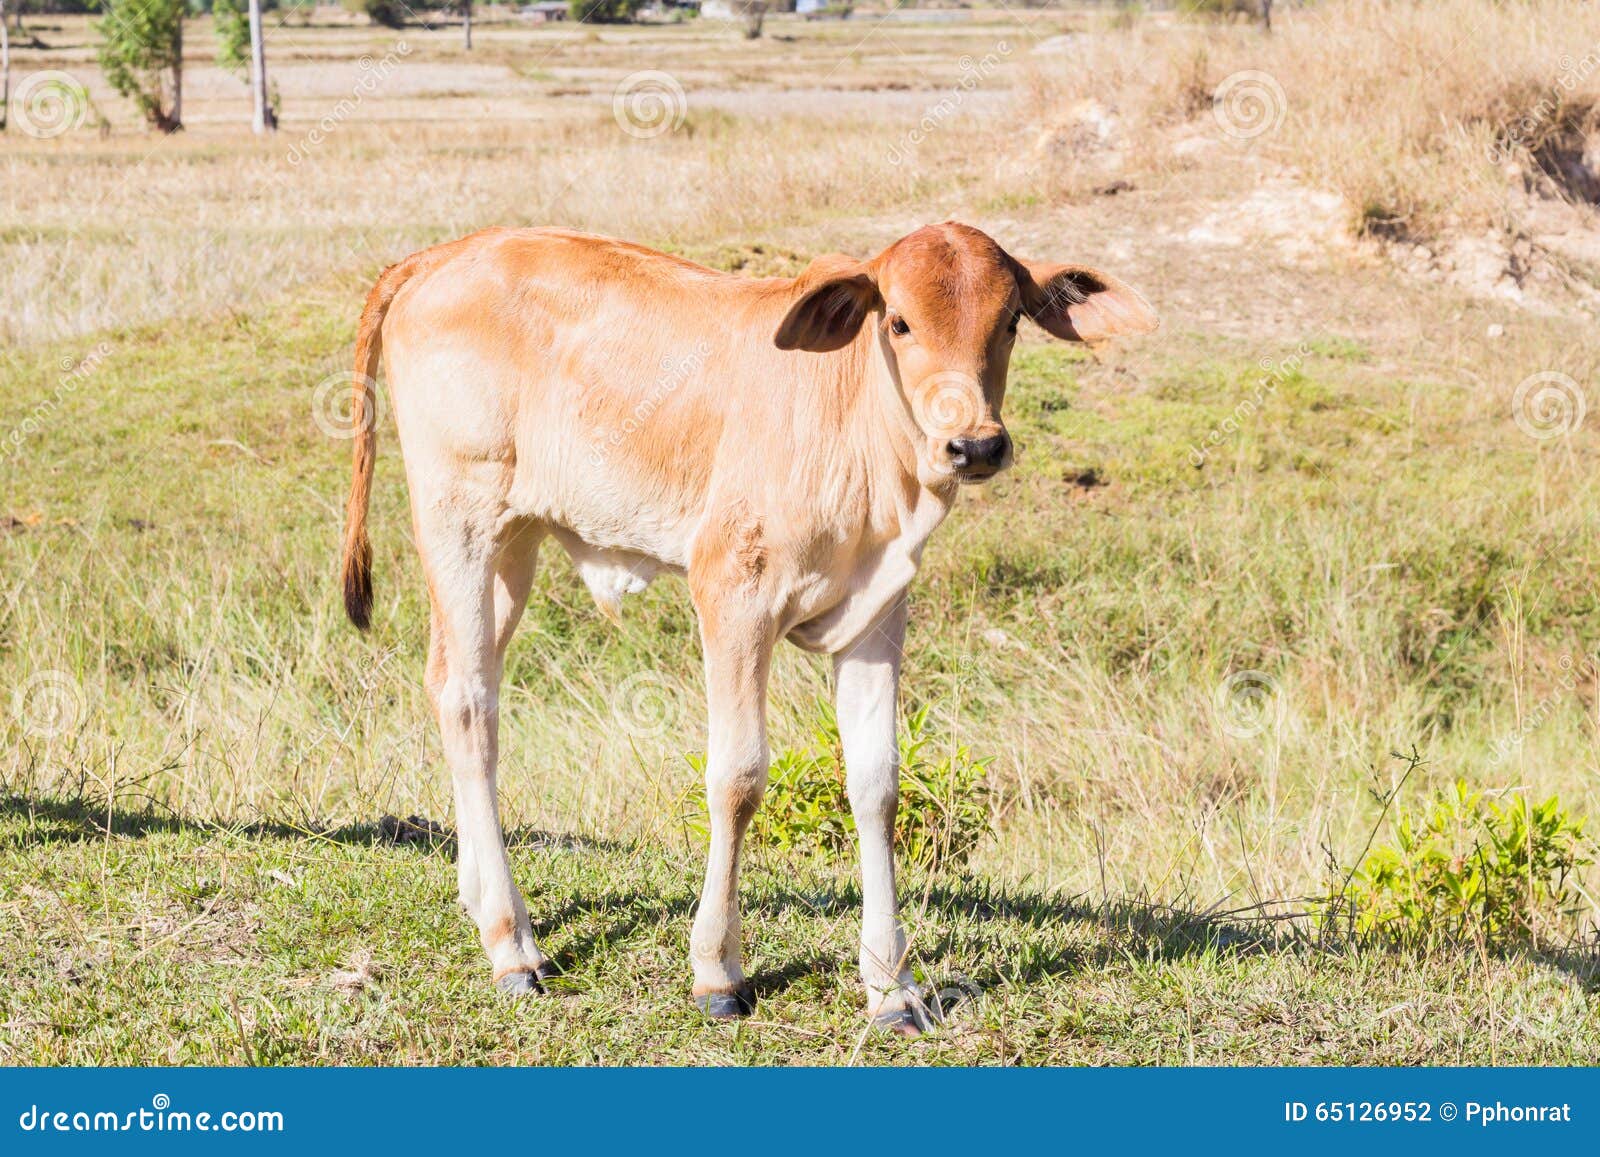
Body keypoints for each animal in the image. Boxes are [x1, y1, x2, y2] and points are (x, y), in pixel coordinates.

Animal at [338, 222, 1156, 1034]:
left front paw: (891, 984)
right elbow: (736, 778)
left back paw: (480, 897)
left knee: (453, 681)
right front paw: (716, 969)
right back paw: (513, 945)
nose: (976, 444)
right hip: (460, 519)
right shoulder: (732, 592)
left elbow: (877, 784)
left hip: (515, 543)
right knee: (470, 706)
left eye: (1011, 320)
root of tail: (444, 254)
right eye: (898, 322)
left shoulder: (878, 615)